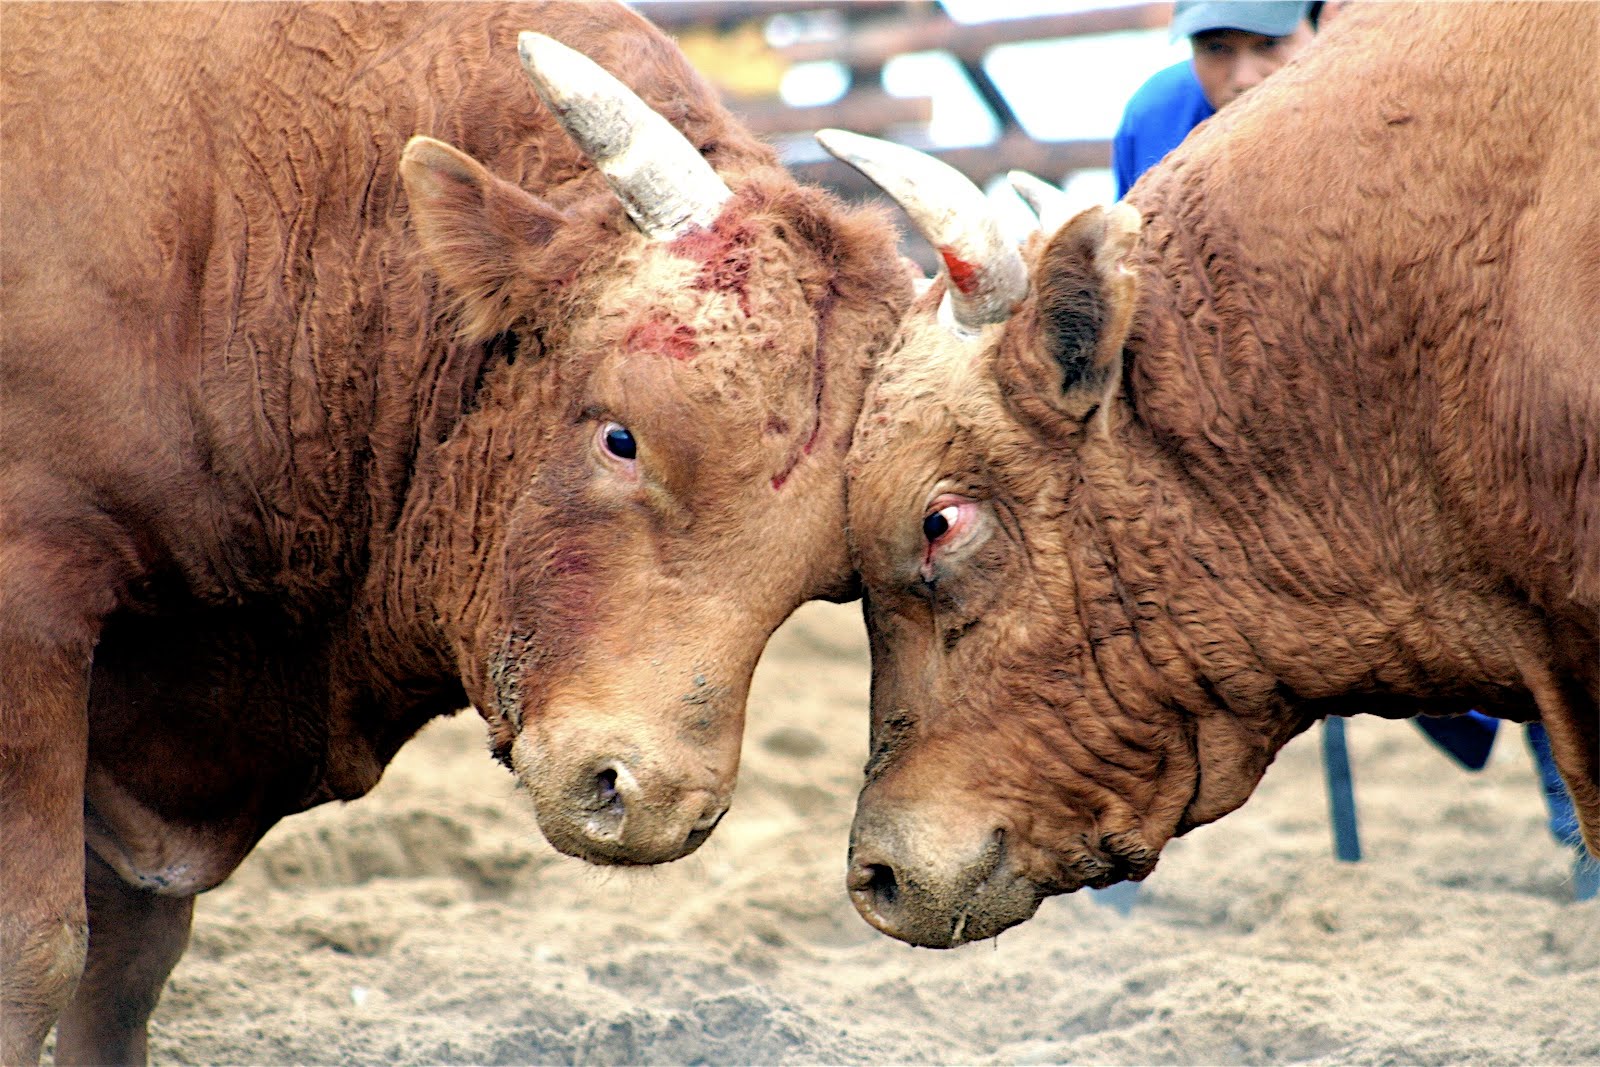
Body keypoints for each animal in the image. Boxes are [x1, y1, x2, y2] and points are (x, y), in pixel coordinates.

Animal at [0, 3, 909, 1060]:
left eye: (829, 573)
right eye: (622, 436)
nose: (649, 800)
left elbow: (124, 967)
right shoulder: (31, 616)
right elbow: (38, 948)